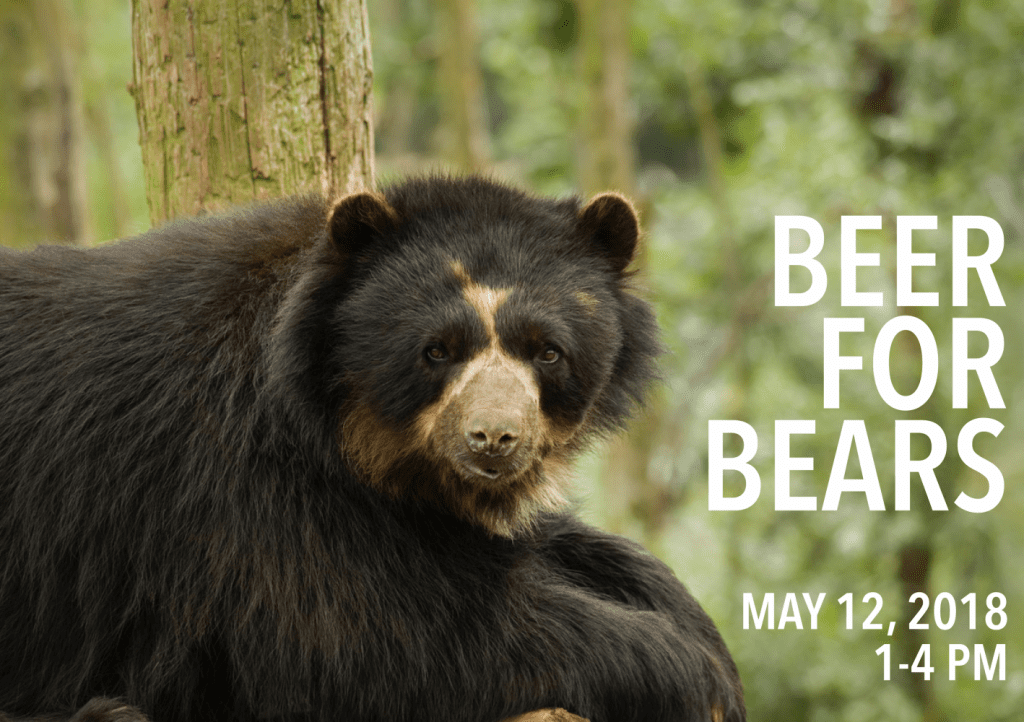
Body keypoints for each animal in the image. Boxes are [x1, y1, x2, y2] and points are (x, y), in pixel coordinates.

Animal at [0, 175, 745, 722]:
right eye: (437, 350)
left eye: (547, 351)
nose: (494, 439)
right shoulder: (245, 496)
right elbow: (390, 641)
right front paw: (696, 678)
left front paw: (693, 624)